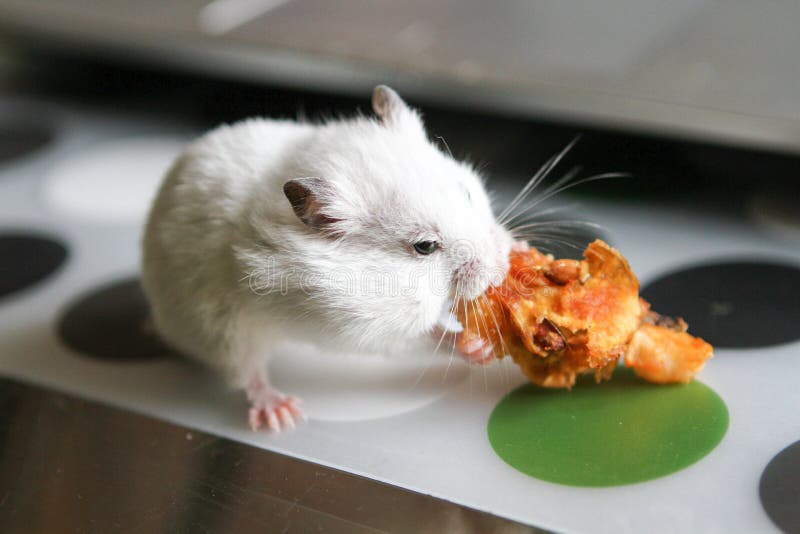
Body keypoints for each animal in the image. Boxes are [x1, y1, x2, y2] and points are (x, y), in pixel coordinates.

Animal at [141, 86, 514, 431]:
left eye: (466, 192)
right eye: (424, 246)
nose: (501, 271)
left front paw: (513, 245)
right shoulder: (363, 327)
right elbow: (424, 337)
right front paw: (478, 348)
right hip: (220, 329)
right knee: (246, 371)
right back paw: (281, 414)